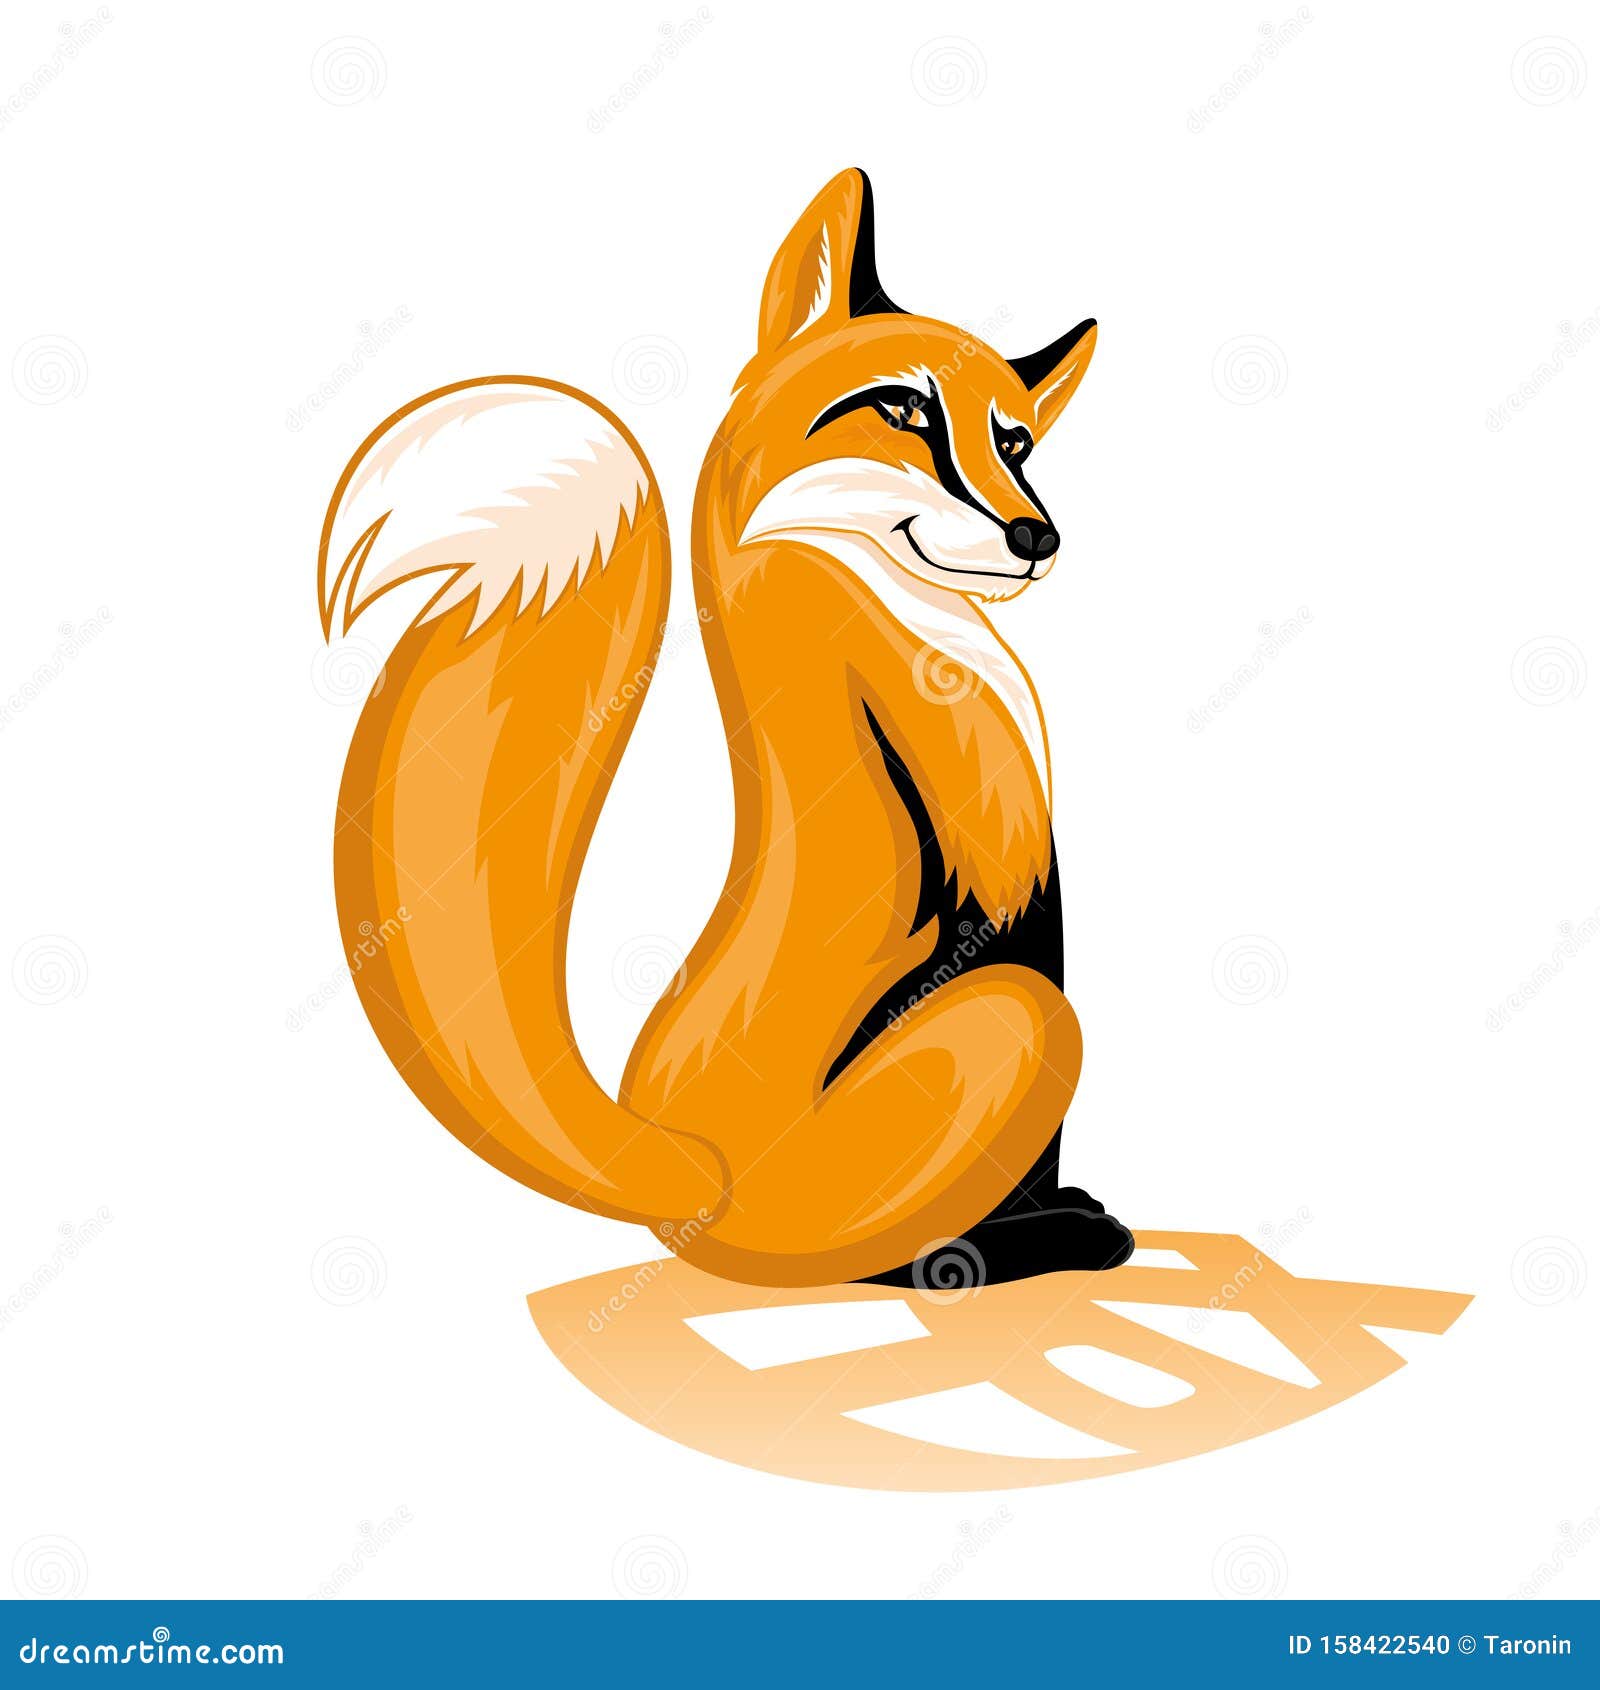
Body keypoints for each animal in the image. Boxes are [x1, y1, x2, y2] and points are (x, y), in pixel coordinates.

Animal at [316, 168, 1132, 1289]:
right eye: (902, 409)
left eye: (1016, 443)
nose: (1036, 536)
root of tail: (692, 1179)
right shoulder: (995, 899)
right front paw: (1029, 1230)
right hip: (1027, 1021)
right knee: (879, 1253)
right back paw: (1013, 1248)